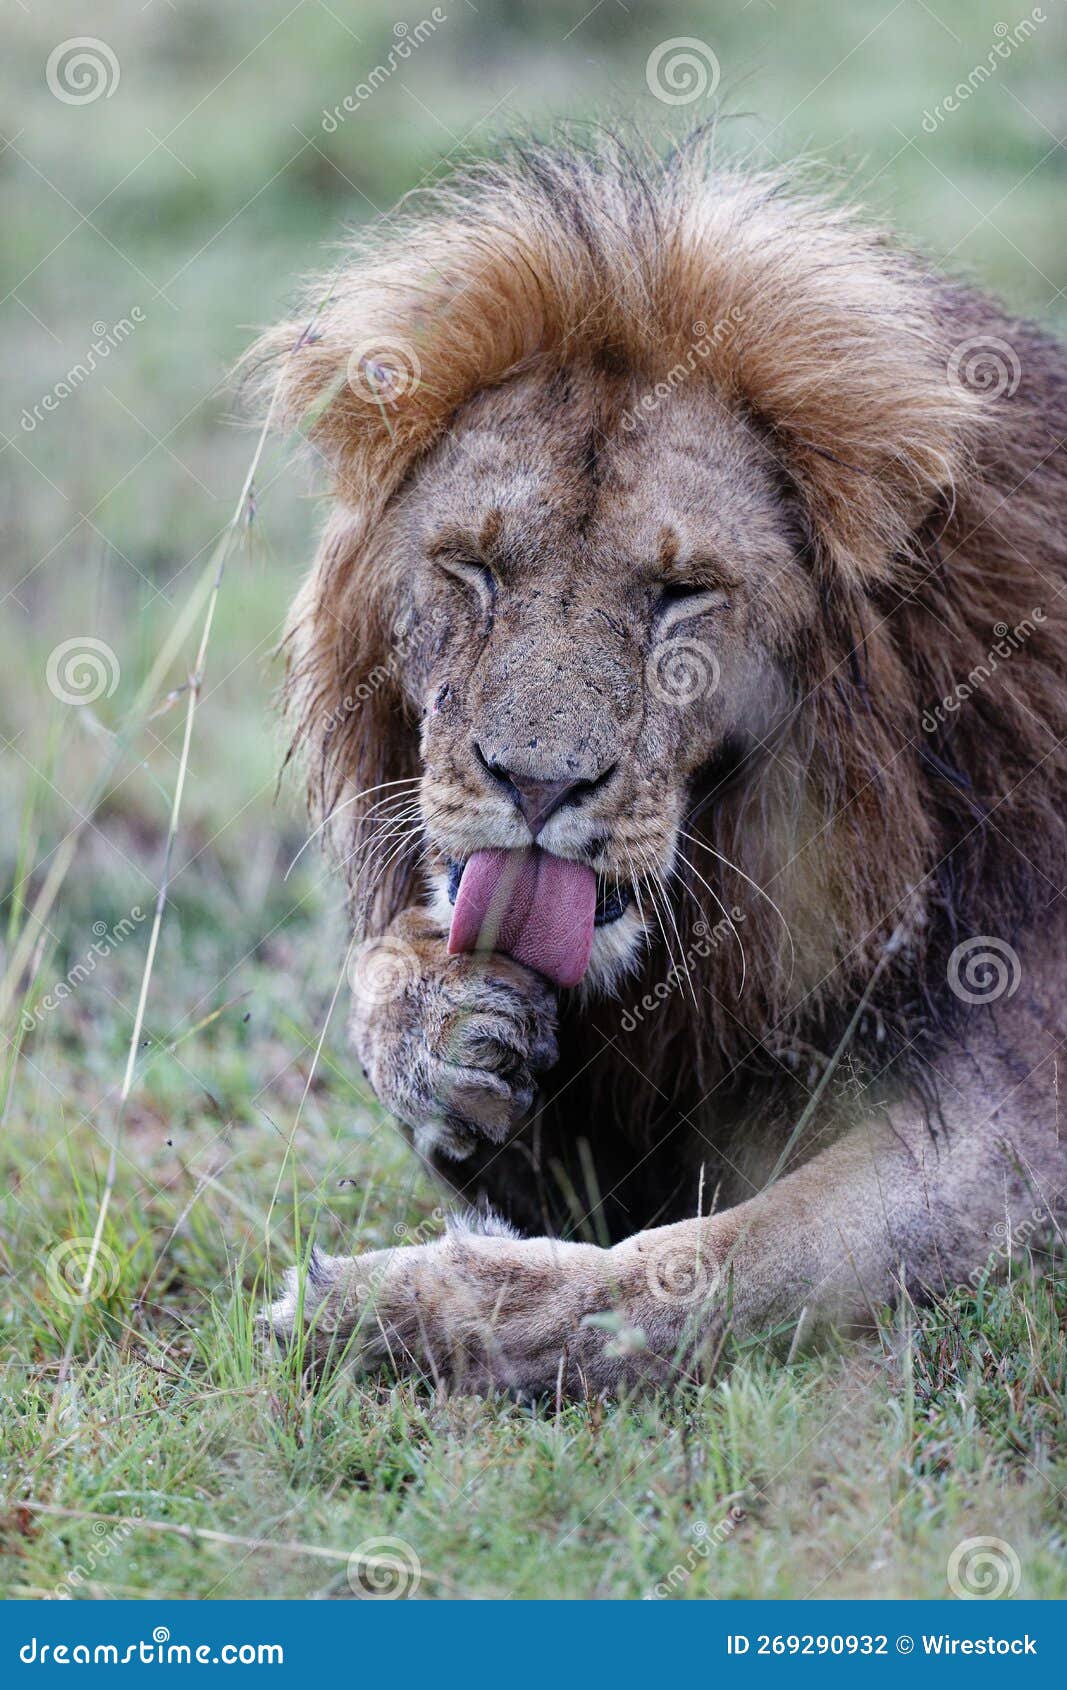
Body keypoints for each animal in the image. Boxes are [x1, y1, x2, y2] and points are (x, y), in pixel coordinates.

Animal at [253, 132, 1067, 1395]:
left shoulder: (1016, 1097)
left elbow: (726, 1266)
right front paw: (440, 1026)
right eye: (471, 567)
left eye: (680, 594)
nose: (536, 785)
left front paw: (398, 1309)